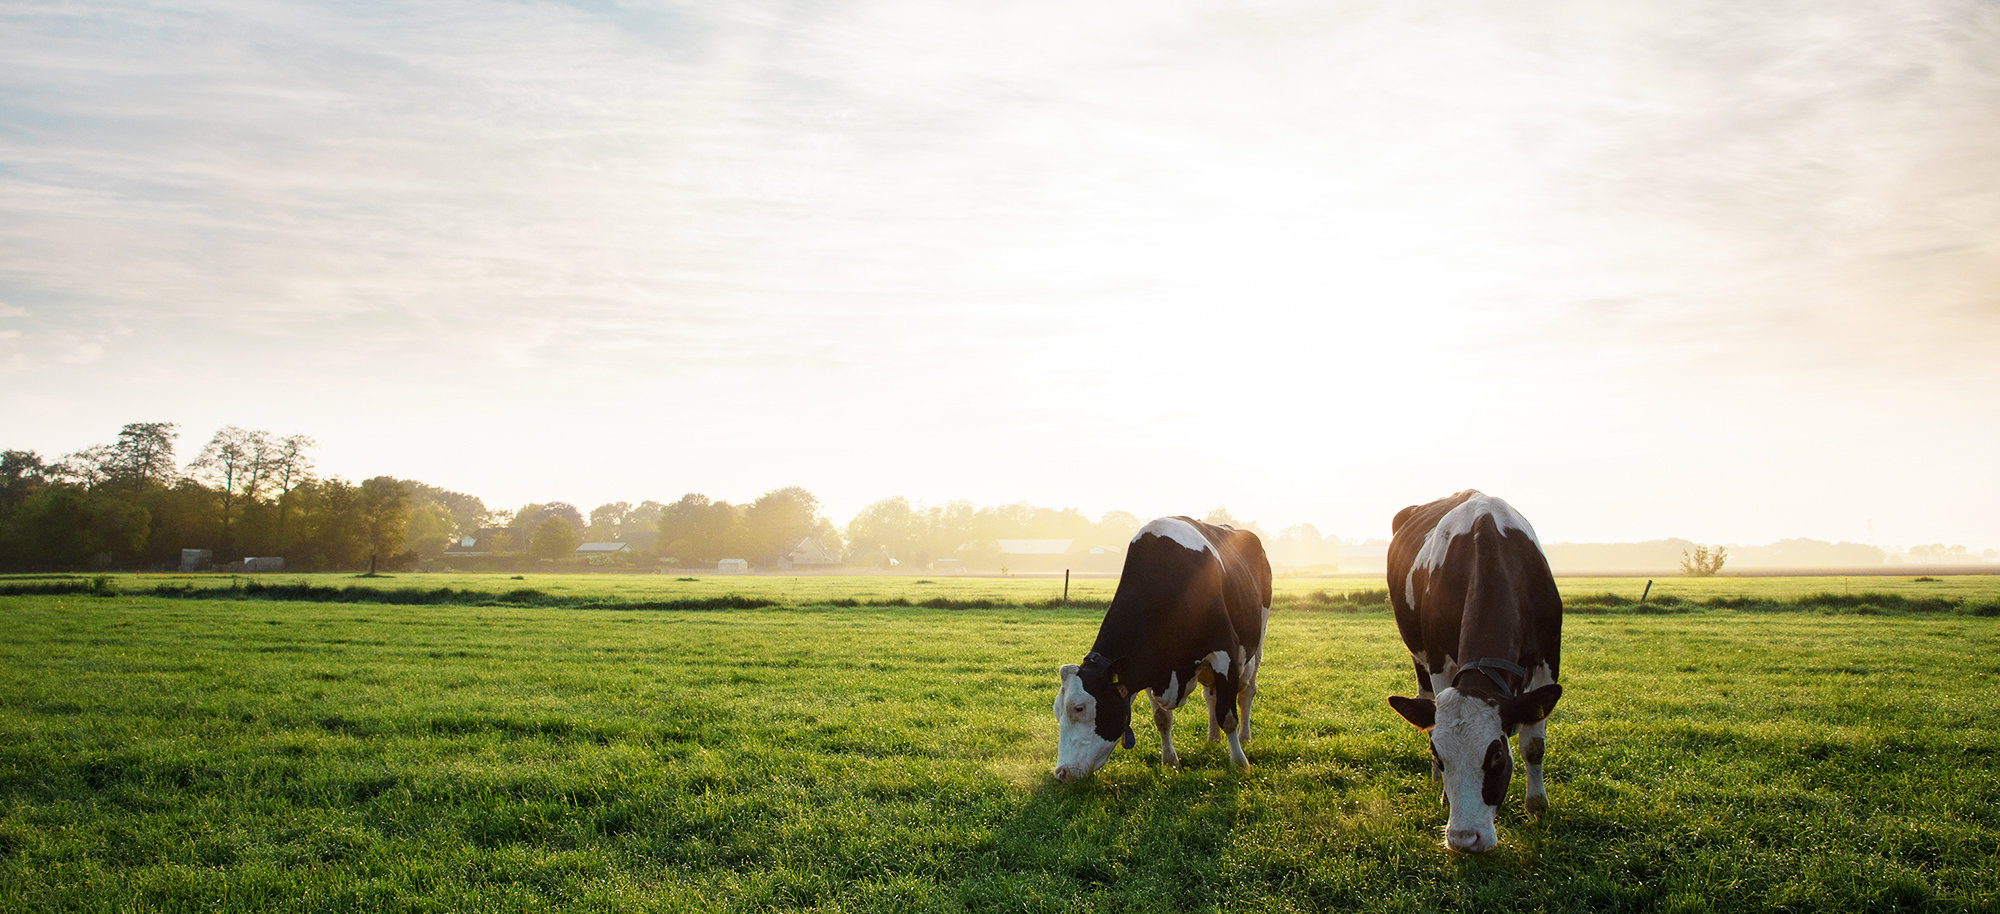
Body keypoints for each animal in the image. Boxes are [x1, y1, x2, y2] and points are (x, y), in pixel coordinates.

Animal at [1052, 516, 1272, 782]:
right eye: (1056, 712)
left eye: (1079, 708)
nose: (1061, 772)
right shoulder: (1148, 666)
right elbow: (1162, 719)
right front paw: (1169, 762)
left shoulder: (1224, 652)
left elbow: (1227, 715)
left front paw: (1239, 763)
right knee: (1210, 695)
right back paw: (1212, 738)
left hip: (1257, 642)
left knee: (1246, 691)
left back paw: (1244, 737)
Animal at [1385, 490, 1563, 853]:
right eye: (1438, 754)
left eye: (1496, 755)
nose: (1465, 839)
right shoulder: (1438, 660)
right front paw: (1443, 793)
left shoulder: (1549, 657)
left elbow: (1533, 744)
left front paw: (1537, 804)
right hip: (1417, 654)